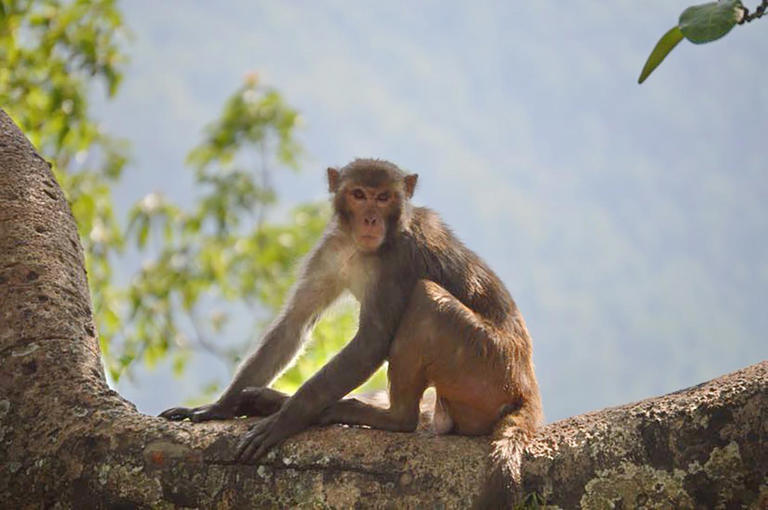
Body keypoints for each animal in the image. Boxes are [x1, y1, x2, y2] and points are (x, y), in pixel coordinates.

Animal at [160, 159, 542, 507]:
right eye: (359, 195)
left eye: (384, 197)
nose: (371, 219)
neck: (364, 248)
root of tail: (526, 387)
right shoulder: (330, 249)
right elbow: (294, 323)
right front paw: (219, 407)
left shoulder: (399, 260)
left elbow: (372, 341)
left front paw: (286, 419)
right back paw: (267, 400)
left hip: (484, 363)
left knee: (425, 301)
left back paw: (383, 416)